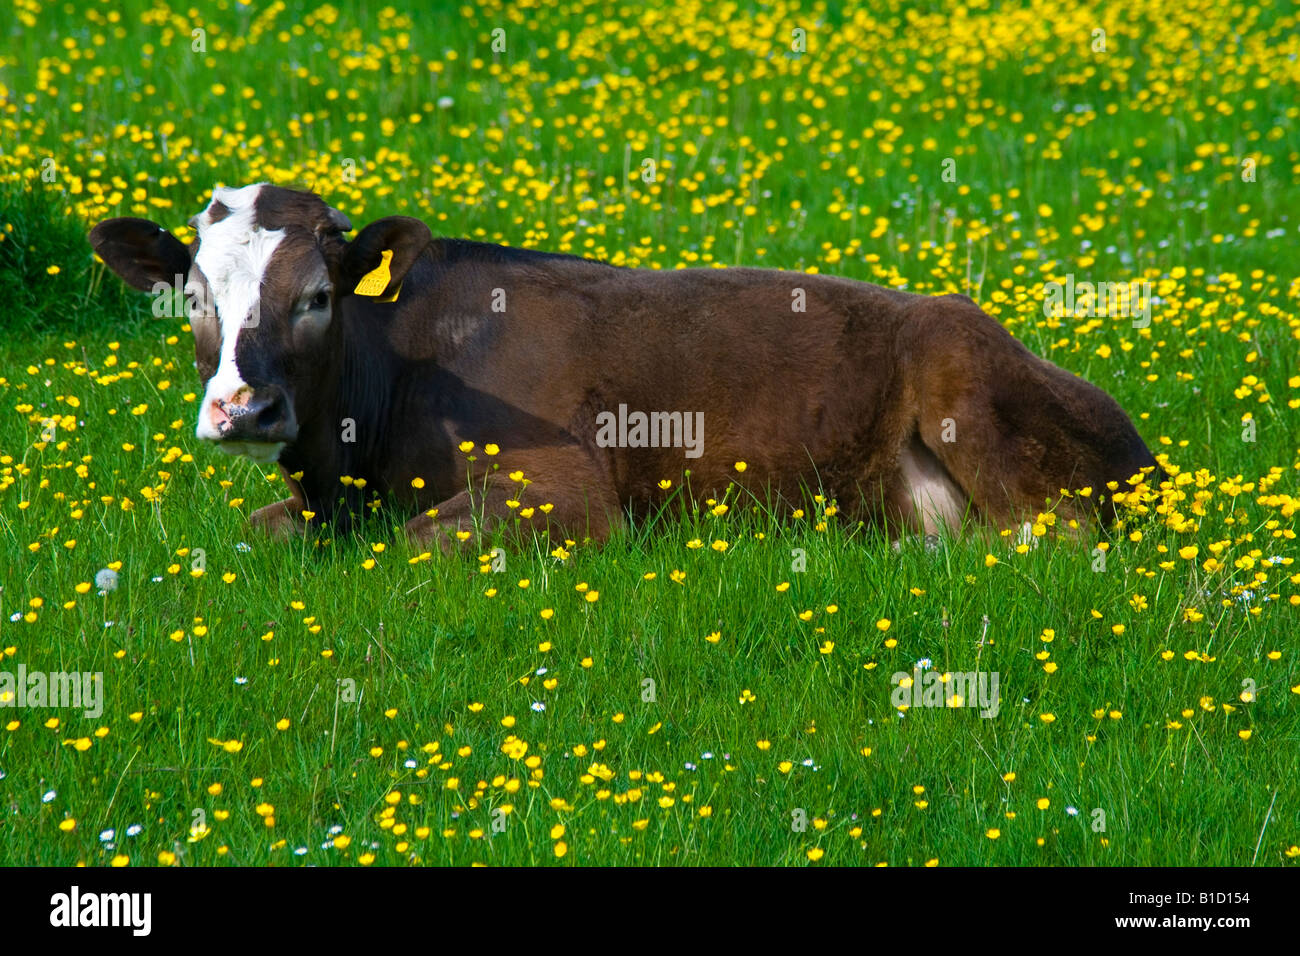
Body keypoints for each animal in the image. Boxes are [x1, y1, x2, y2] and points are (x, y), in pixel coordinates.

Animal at [89, 183, 1160, 550]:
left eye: (318, 295)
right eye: (192, 296)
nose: (244, 409)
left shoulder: (563, 491)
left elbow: (415, 546)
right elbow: (246, 537)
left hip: (962, 377)